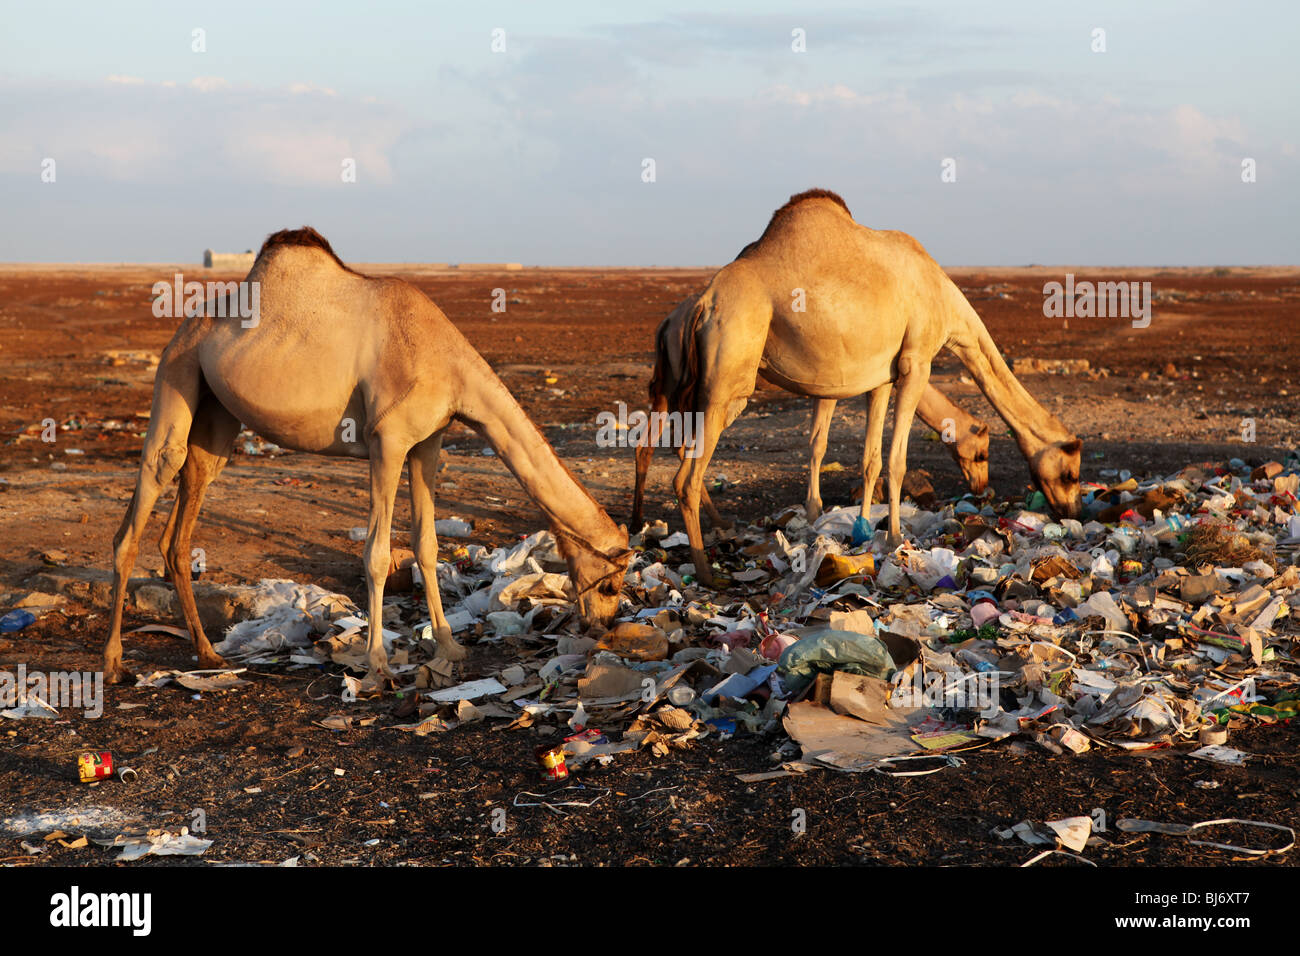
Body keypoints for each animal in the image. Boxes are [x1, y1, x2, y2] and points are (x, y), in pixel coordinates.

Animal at [104, 227, 630, 686]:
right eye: (610, 584)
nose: (601, 625)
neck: (451, 368)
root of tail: (186, 326)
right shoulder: (388, 441)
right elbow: (377, 554)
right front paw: (377, 661)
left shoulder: (428, 441)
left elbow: (427, 545)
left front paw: (448, 646)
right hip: (176, 369)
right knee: (145, 496)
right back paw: (113, 664)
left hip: (215, 412)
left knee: (183, 520)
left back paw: (208, 653)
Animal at [629, 296, 989, 529]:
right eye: (981, 453)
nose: (981, 486)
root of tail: (667, 325)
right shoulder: (838, 385)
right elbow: (822, 444)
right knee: (683, 448)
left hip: (668, 389)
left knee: (652, 444)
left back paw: (640, 522)